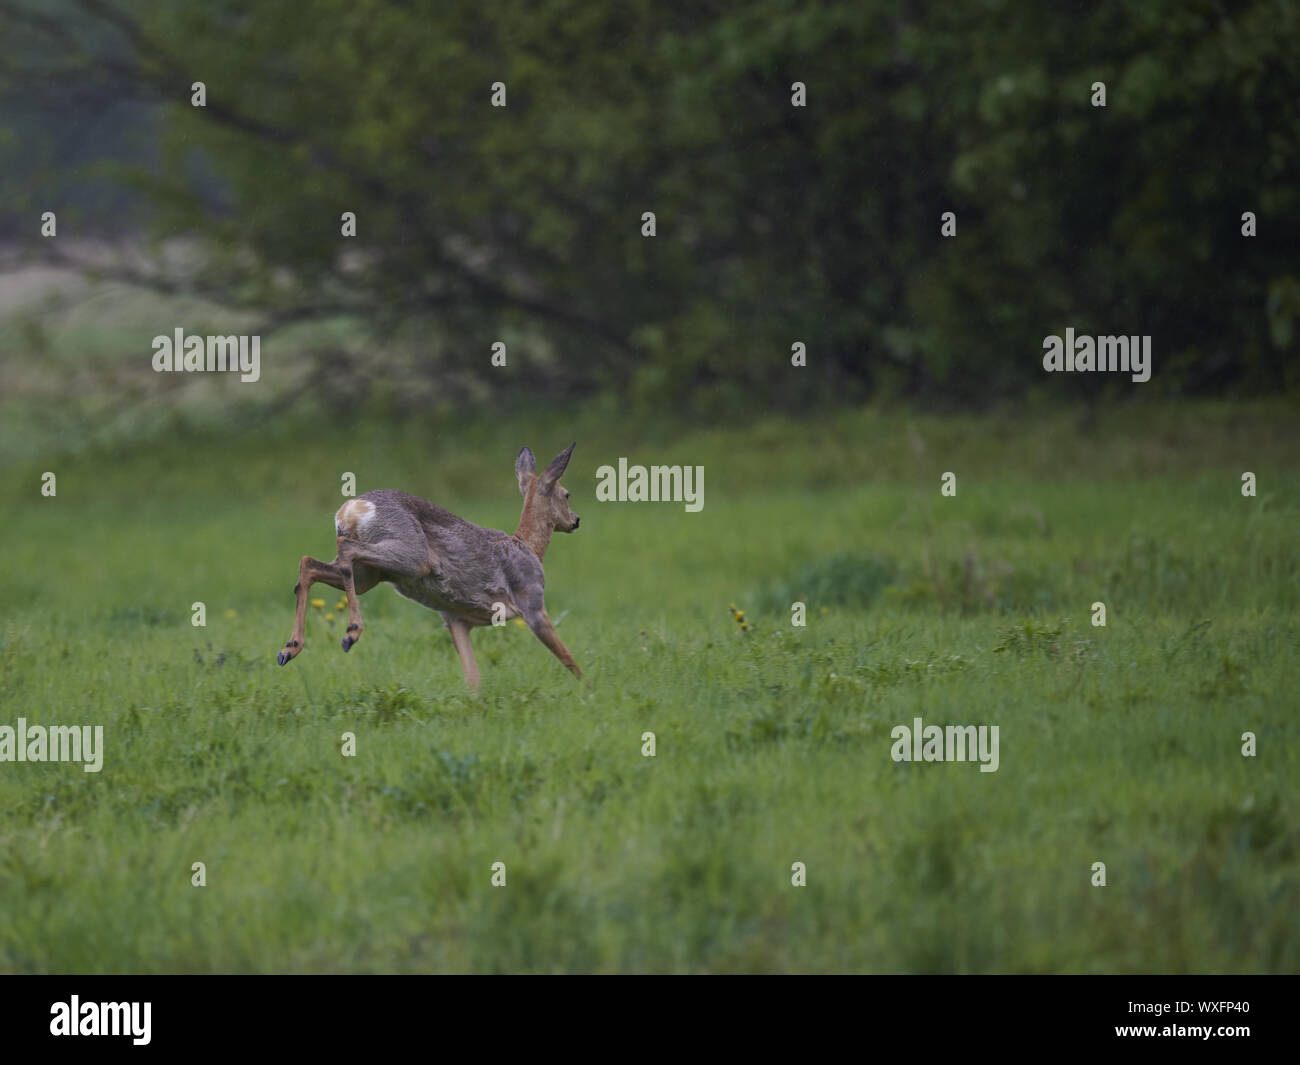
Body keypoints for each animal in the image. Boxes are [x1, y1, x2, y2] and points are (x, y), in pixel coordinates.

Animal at [275, 443, 582, 688]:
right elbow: (569, 659)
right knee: (344, 550)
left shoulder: (456, 618)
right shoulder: (532, 603)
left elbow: (473, 677)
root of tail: (351, 509)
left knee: (309, 564)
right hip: (412, 557)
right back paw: (351, 633)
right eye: (567, 494)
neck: (527, 546)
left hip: (370, 576)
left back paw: (289, 649)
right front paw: (586, 692)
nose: (576, 520)